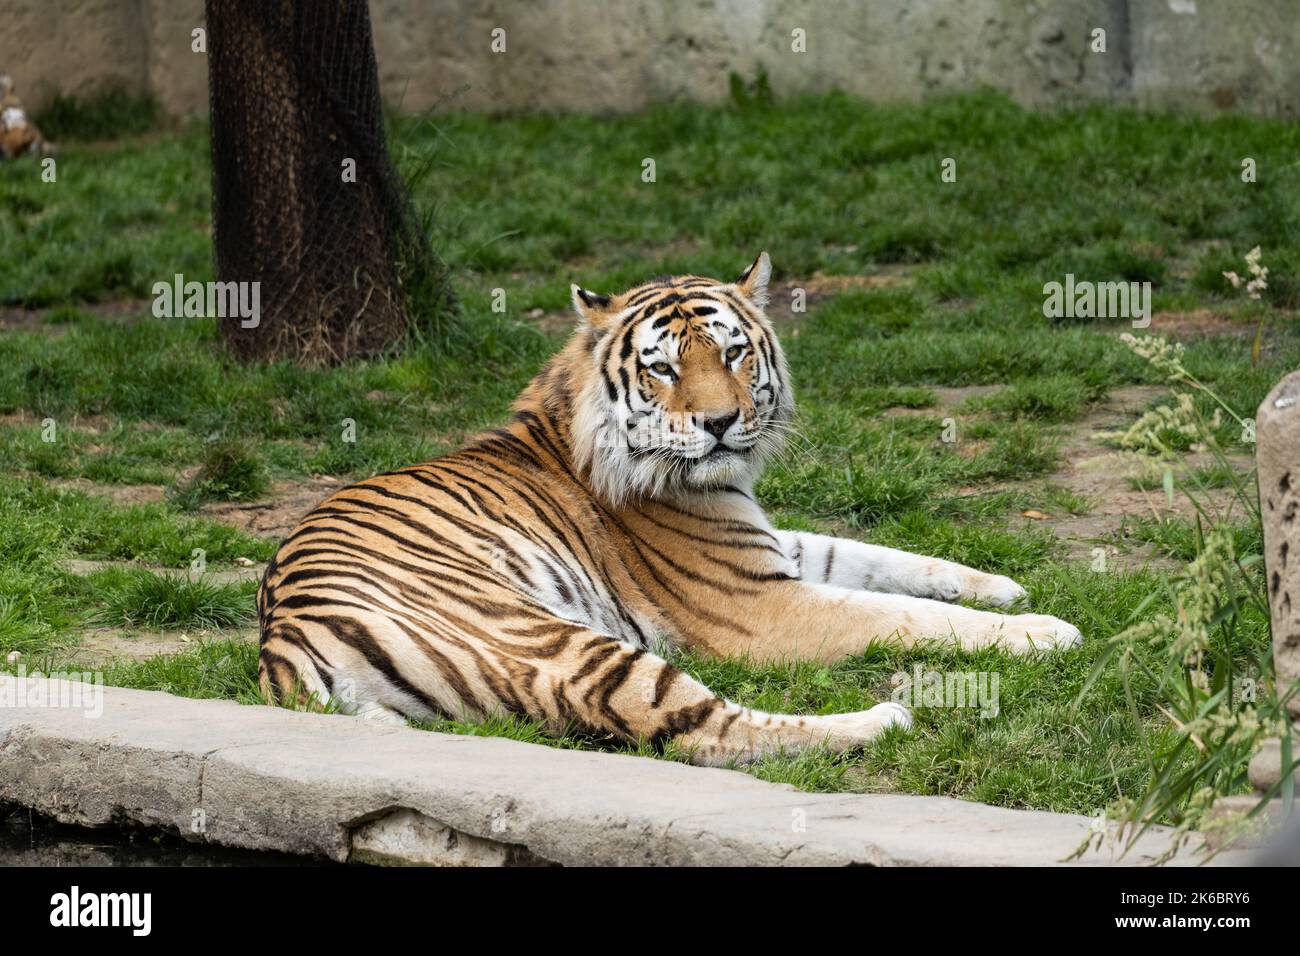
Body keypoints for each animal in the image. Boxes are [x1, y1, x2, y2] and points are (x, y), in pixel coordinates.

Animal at [258, 253, 1083, 765]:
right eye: (661, 368)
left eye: (734, 353)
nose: (719, 423)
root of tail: (280, 643)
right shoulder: (756, 604)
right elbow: (903, 614)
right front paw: (1047, 631)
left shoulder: (767, 548)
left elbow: (884, 558)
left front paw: (1002, 585)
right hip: (564, 642)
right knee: (706, 731)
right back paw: (883, 718)